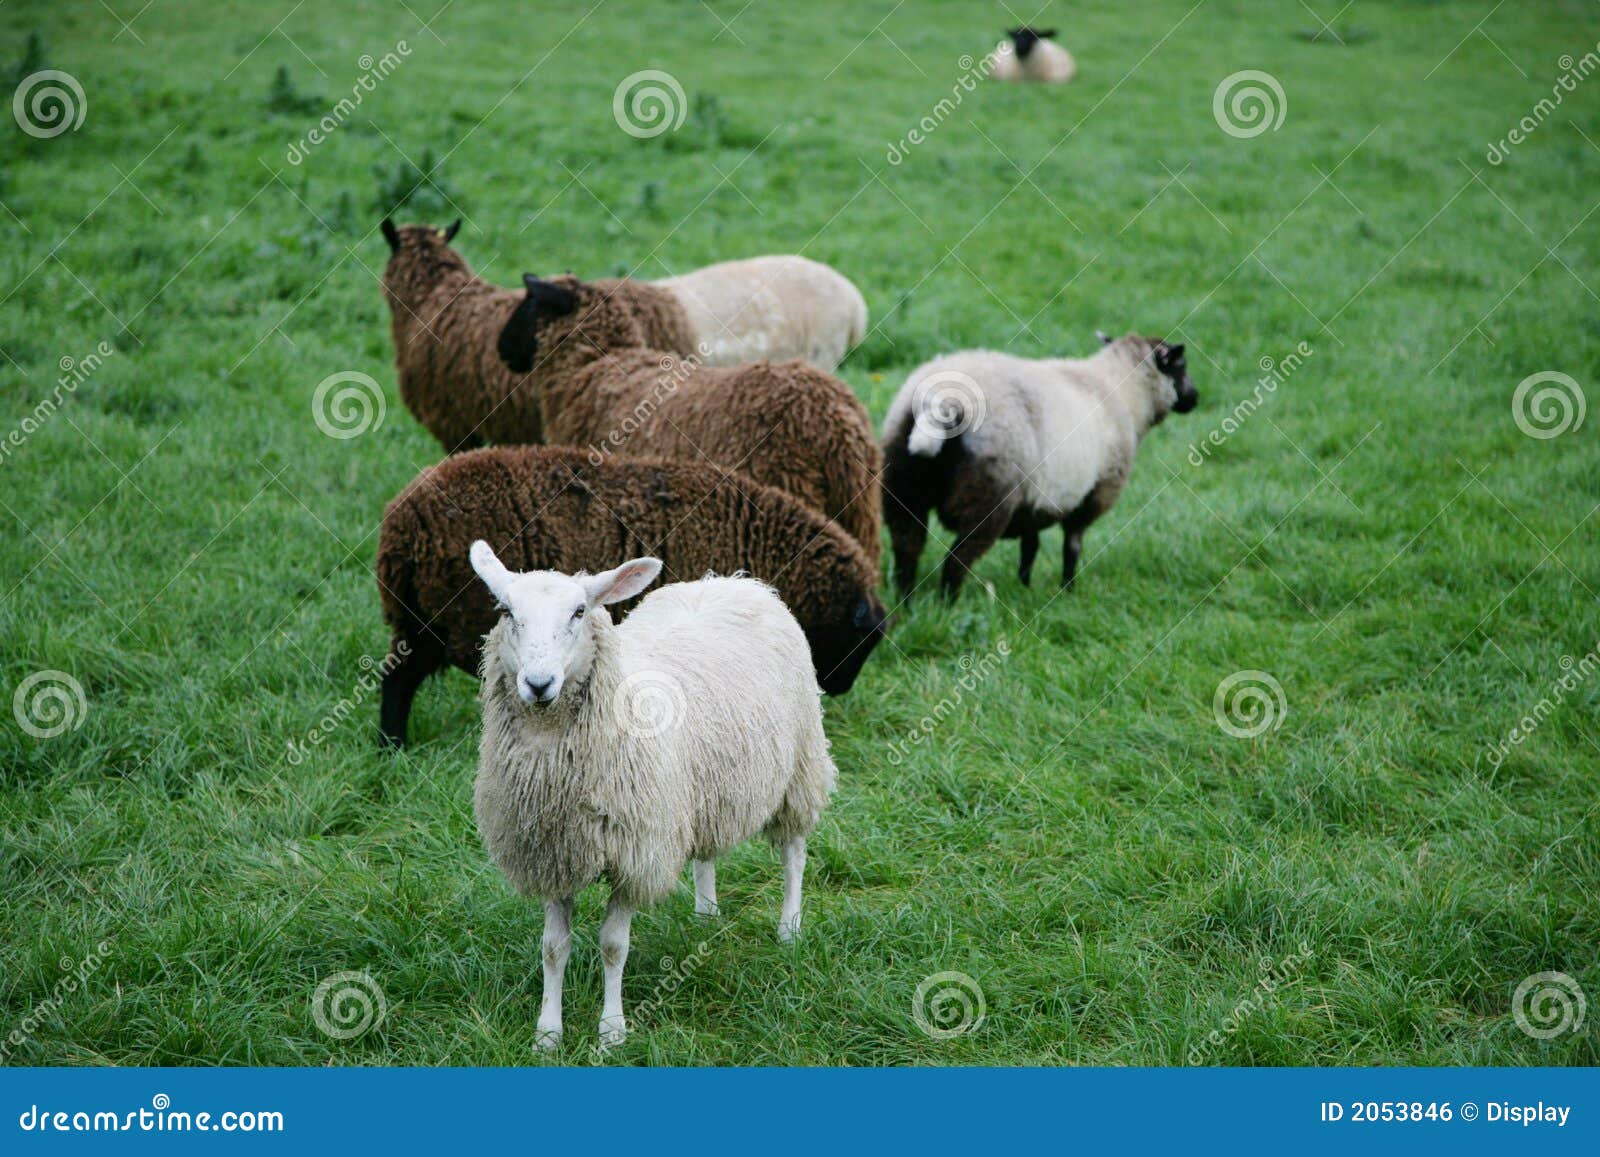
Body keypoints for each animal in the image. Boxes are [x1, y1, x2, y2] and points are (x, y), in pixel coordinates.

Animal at [376, 445, 888, 748]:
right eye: (861, 640)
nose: (836, 689)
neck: (753, 535)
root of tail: (402, 525)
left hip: (417, 622)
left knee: (395, 675)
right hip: (445, 622)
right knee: (400, 680)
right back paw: (394, 745)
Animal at [468, 544, 836, 1048]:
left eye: (579, 611)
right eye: (506, 612)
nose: (539, 684)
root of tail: (731, 580)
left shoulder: (635, 852)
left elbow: (612, 946)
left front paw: (611, 1030)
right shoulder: (553, 853)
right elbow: (552, 948)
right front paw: (548, 1033)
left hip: (799, 769)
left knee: (794, 853)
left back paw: (789, 928)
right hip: (700, 789)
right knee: (706, 852)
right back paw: (706, 914)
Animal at [880, 334, 1198, 599]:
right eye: (1180, 366)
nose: (1195, 398)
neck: (1124, 392)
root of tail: (945, 400)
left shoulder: (1031, 503)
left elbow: (1030, 547)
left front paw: (1025, 586)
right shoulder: (1092, 495)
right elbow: (1072, 547)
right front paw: (1068, 589)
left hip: (903, 484)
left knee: (907, 550)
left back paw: (905, 603)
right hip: (989, 495)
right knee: (956, 561)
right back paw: (947, 605)